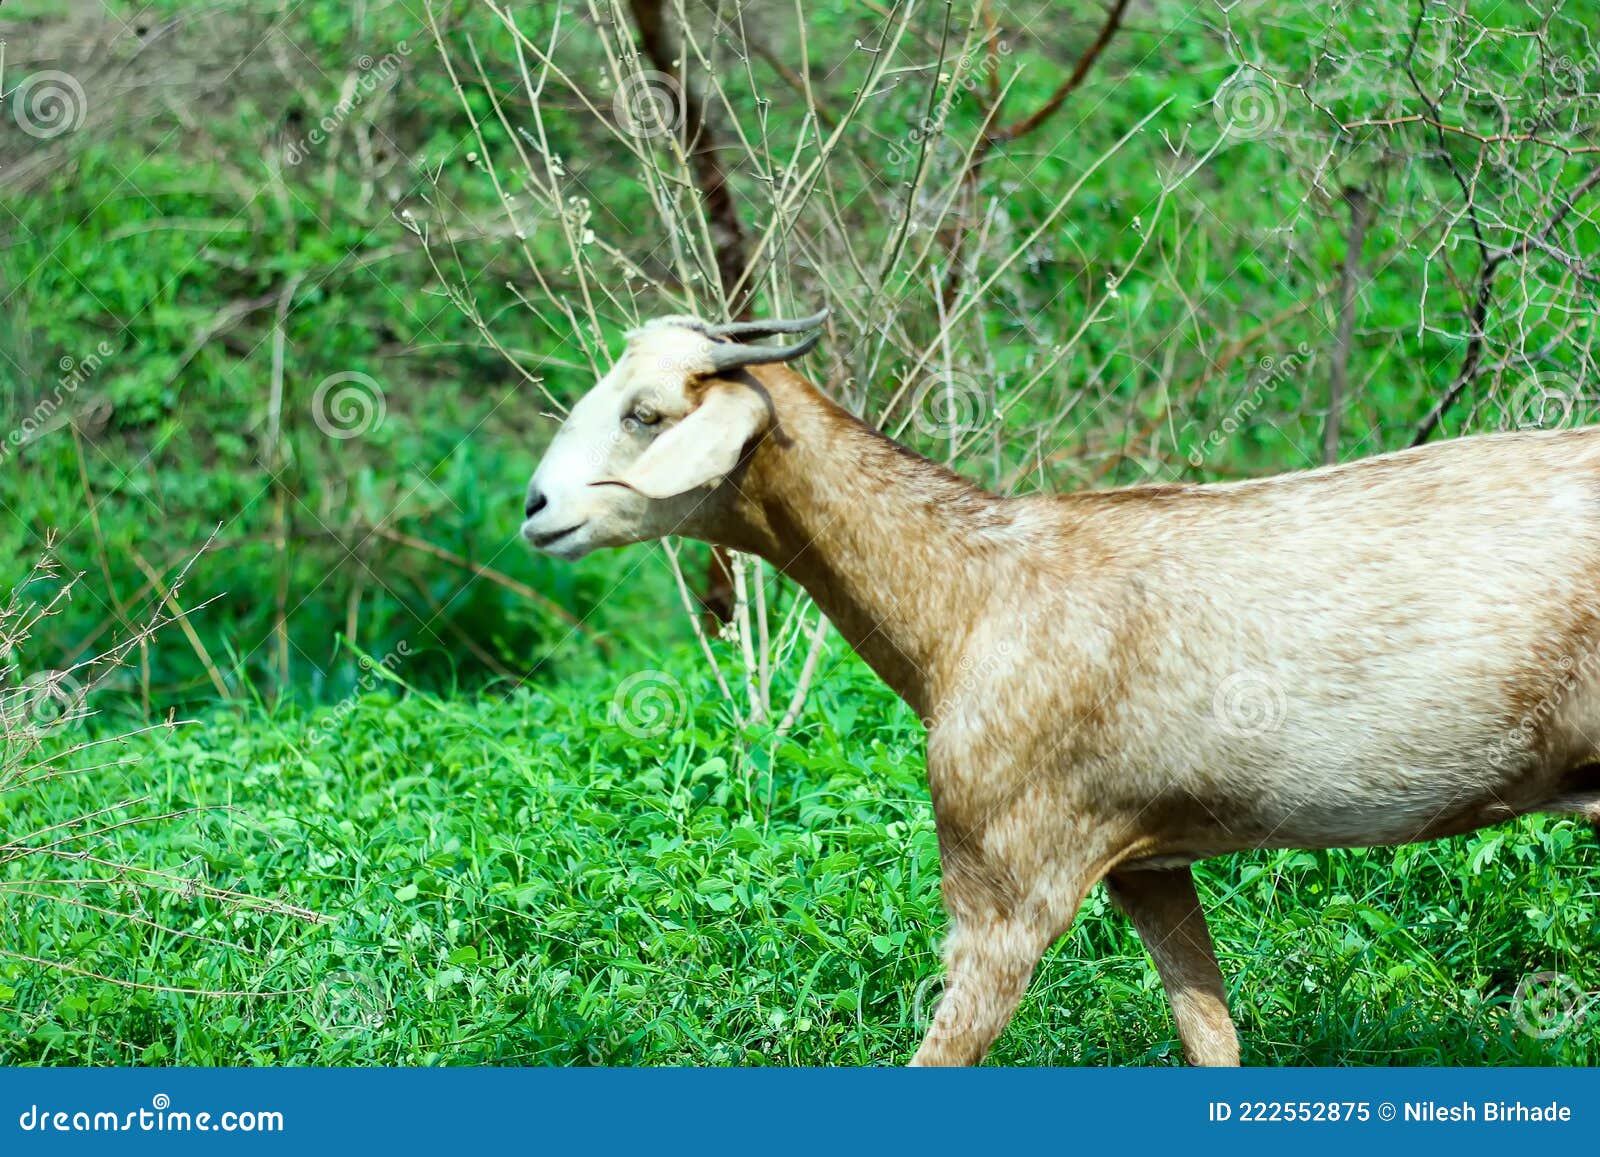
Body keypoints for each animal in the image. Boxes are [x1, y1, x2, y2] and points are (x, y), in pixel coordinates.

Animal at [521, 309, 1600, 1066]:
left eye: (647, 413)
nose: (536, 508)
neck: (971, 599)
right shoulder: (1146, 861)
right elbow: (1213, 1036)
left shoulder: (1008, 881)